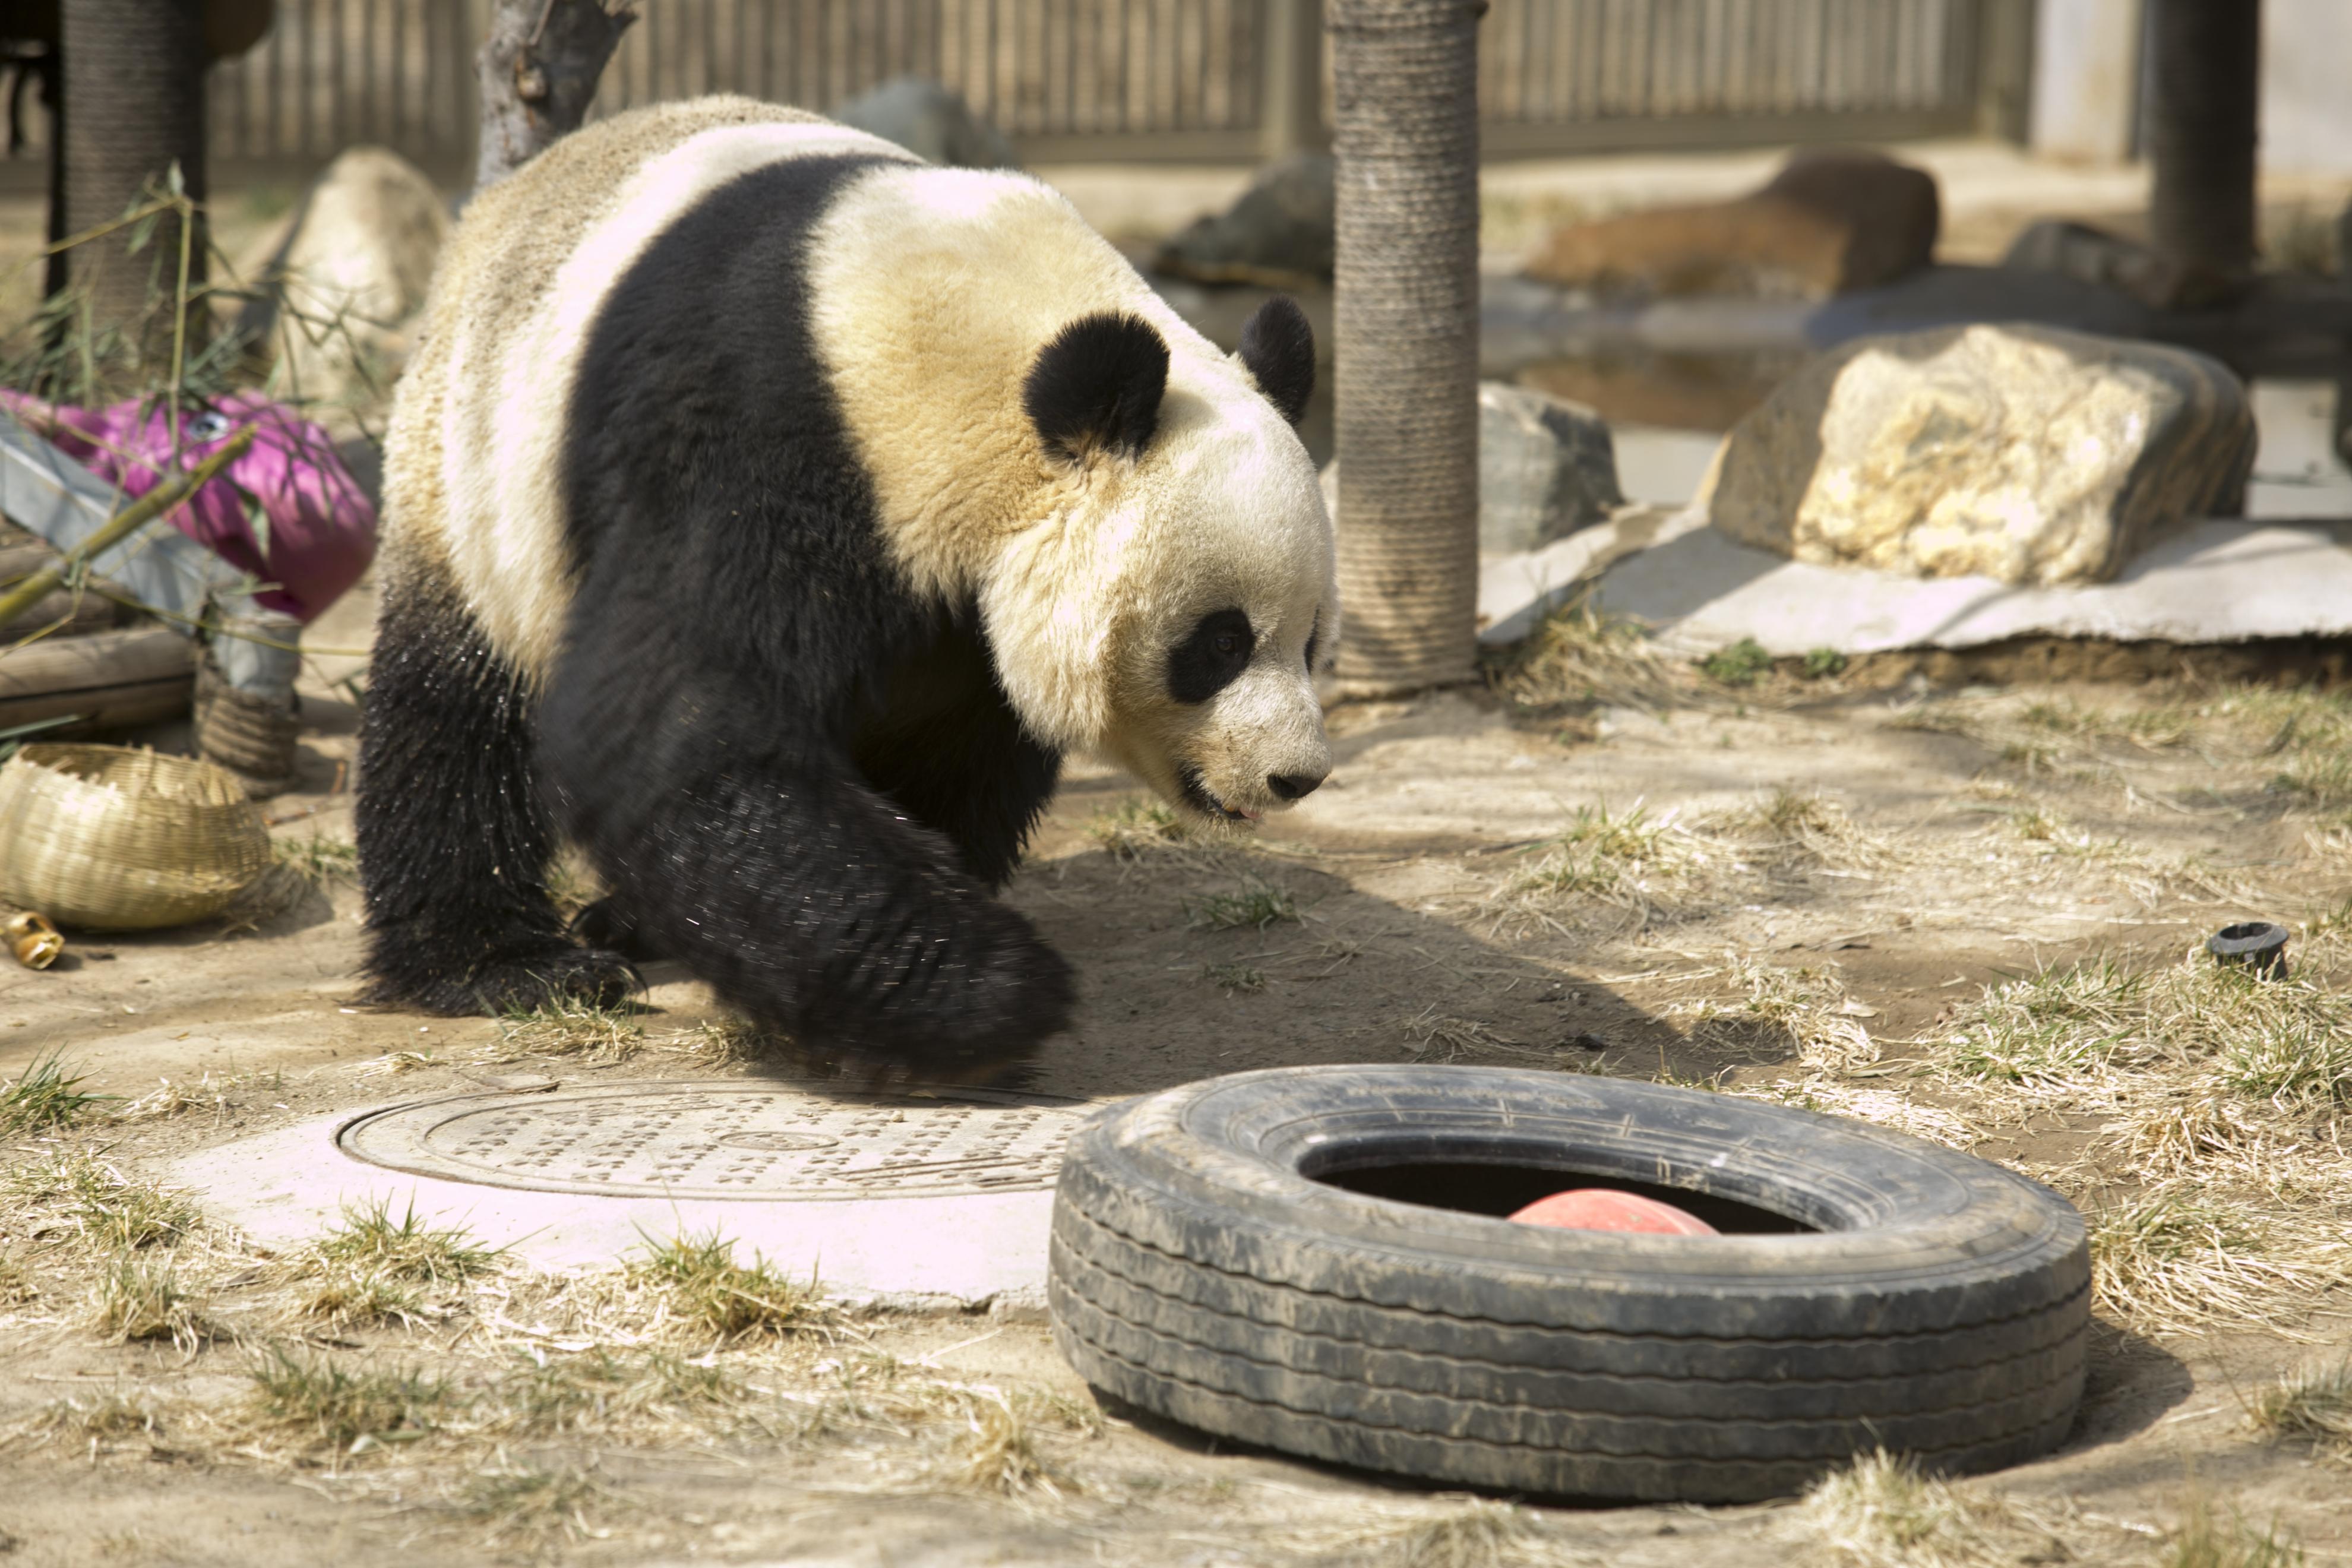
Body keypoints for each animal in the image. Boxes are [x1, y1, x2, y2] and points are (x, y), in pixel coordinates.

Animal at [355, 96, 1335, 1083]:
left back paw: (628, 923)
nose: (1296, 776)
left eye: (1313, 639)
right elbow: (677, 723)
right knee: (452, 717)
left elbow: (956, 752)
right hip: (474, 475)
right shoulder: (759, 436)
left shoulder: (957, 618)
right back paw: (503, 962)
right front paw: (989, 992)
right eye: (1220, 642)